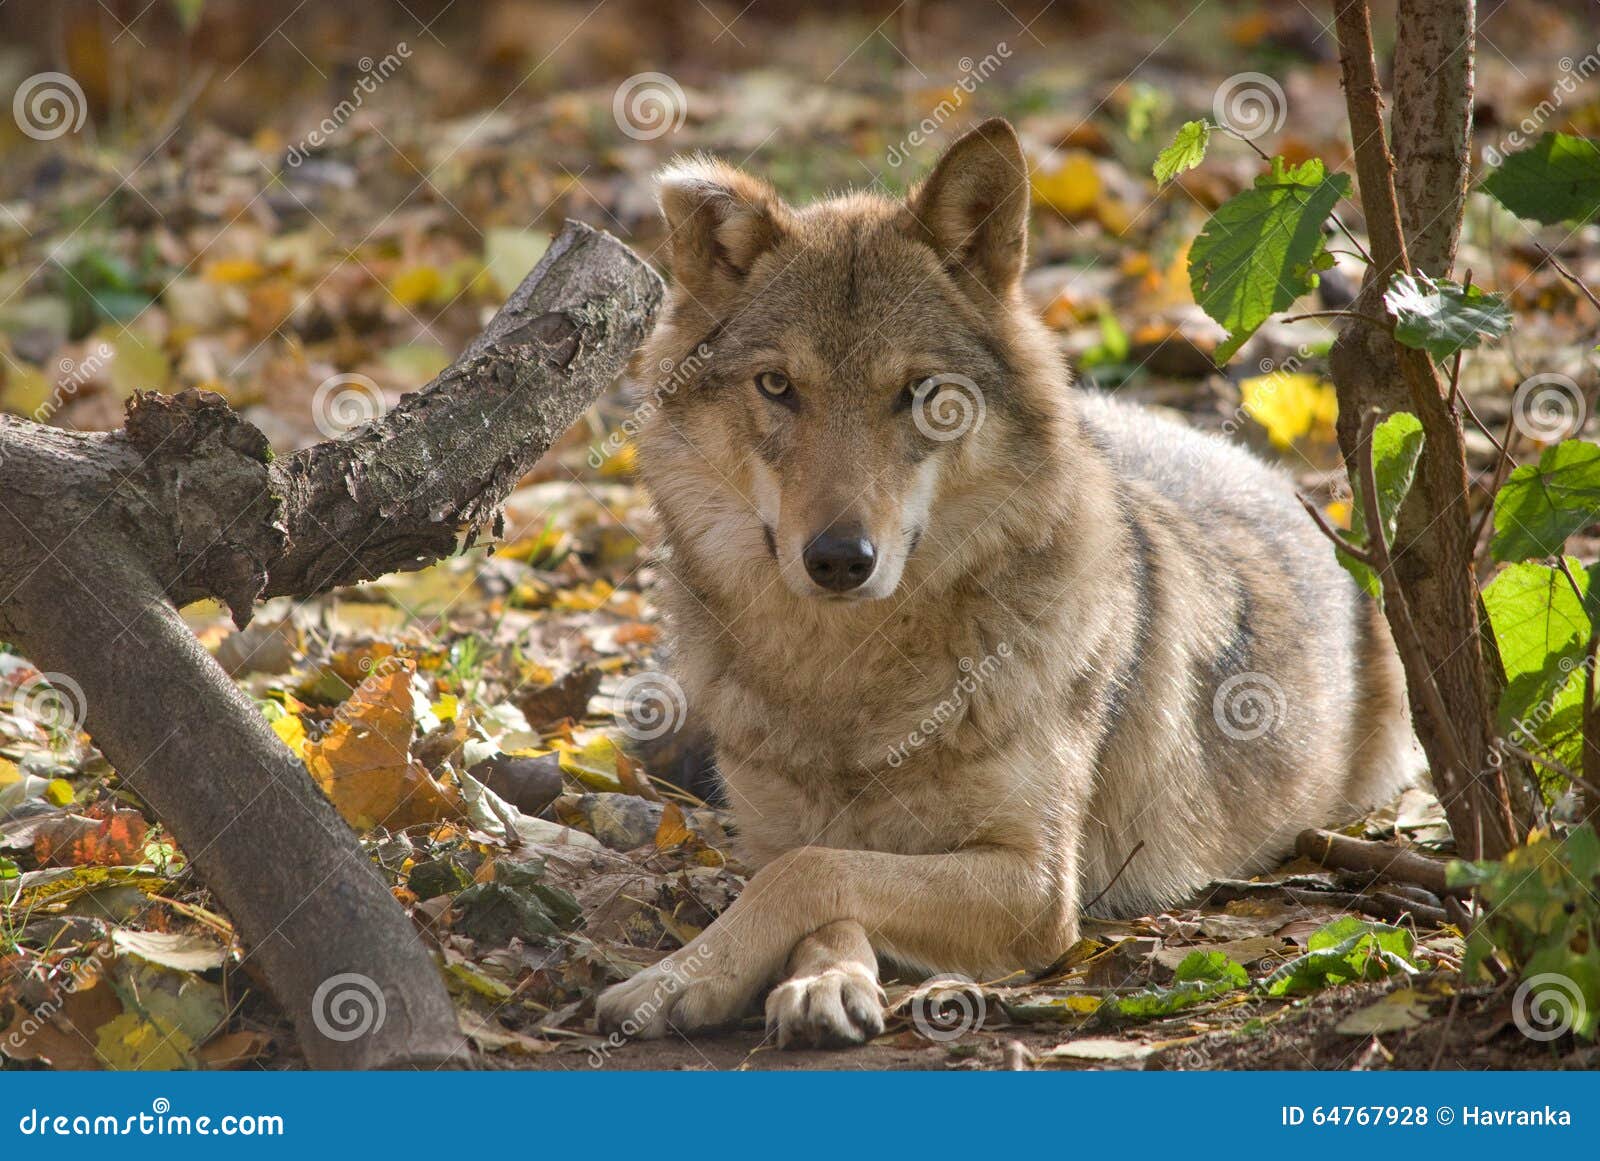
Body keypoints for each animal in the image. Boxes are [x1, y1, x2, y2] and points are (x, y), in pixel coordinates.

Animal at [596, 118, 1415, 1048]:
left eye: (921, 393)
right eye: (777, 385)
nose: (840, 558)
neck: (849, 685)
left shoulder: (1036, 882)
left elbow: (813, 872)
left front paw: (682, 978)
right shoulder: (774, 836)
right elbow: (810, 873)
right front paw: (811, 979)